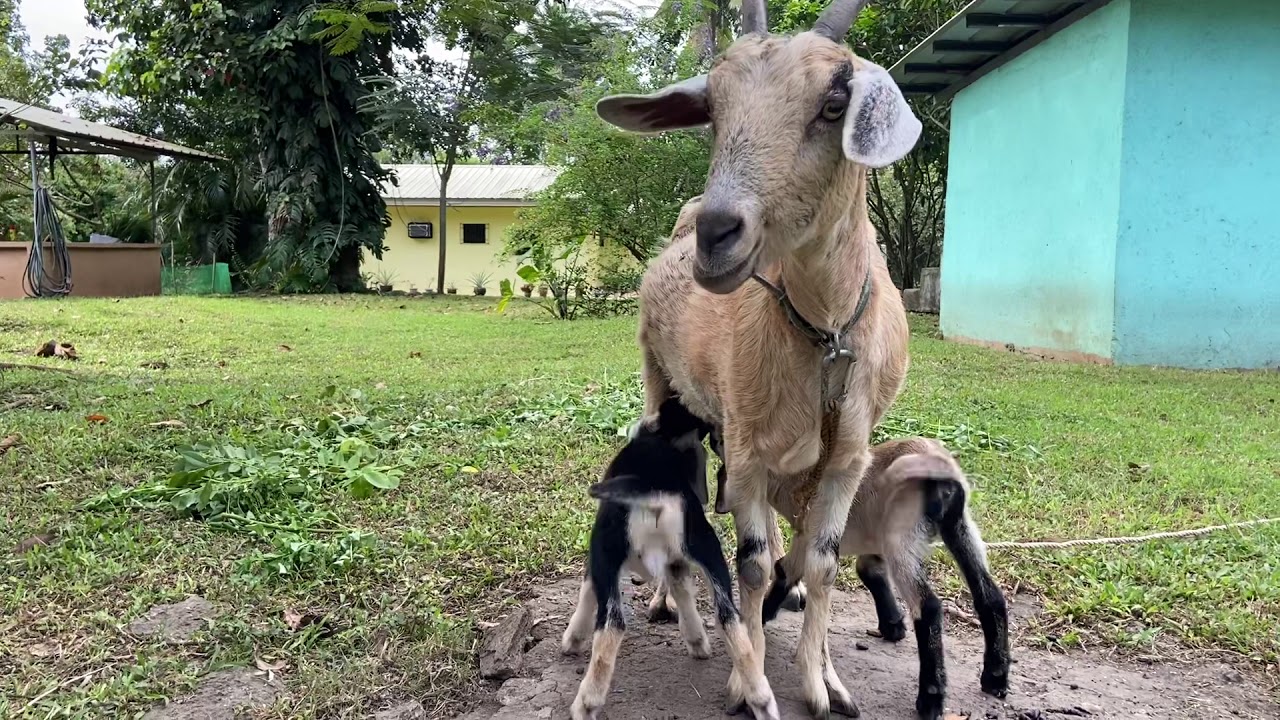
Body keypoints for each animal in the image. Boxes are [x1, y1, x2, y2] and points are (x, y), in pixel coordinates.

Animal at [562, 397, 779, 720]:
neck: (665, 435)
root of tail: (652, 493)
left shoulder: (599, 555)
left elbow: (588, 588)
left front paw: (572, 639)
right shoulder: (677, 559)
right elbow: (681, 588)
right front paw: (697, 641)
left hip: (607, 547)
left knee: (613, 624)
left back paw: (586, 703)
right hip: (707, 547)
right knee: (730, 619)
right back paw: (761, 699)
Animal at [594, 0, 918, 715]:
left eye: (834, 102)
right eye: (712, 109)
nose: (718, 234)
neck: (822, 338)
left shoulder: (846, 460)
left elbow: (819, 561)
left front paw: (822, 683)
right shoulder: (746, 456)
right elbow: (752, 561)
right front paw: (749, 681)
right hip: (663, 384)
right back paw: (667, 603)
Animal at [760, 438, 1011, 719]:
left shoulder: (812, 537)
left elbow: (785, 569)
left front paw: (763, 615)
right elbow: (869, 570)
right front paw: (892, 625)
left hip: (902, 535)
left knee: (928, 606)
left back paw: (931, 696)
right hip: (960, 527)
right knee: (989, 594)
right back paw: (995, 675)